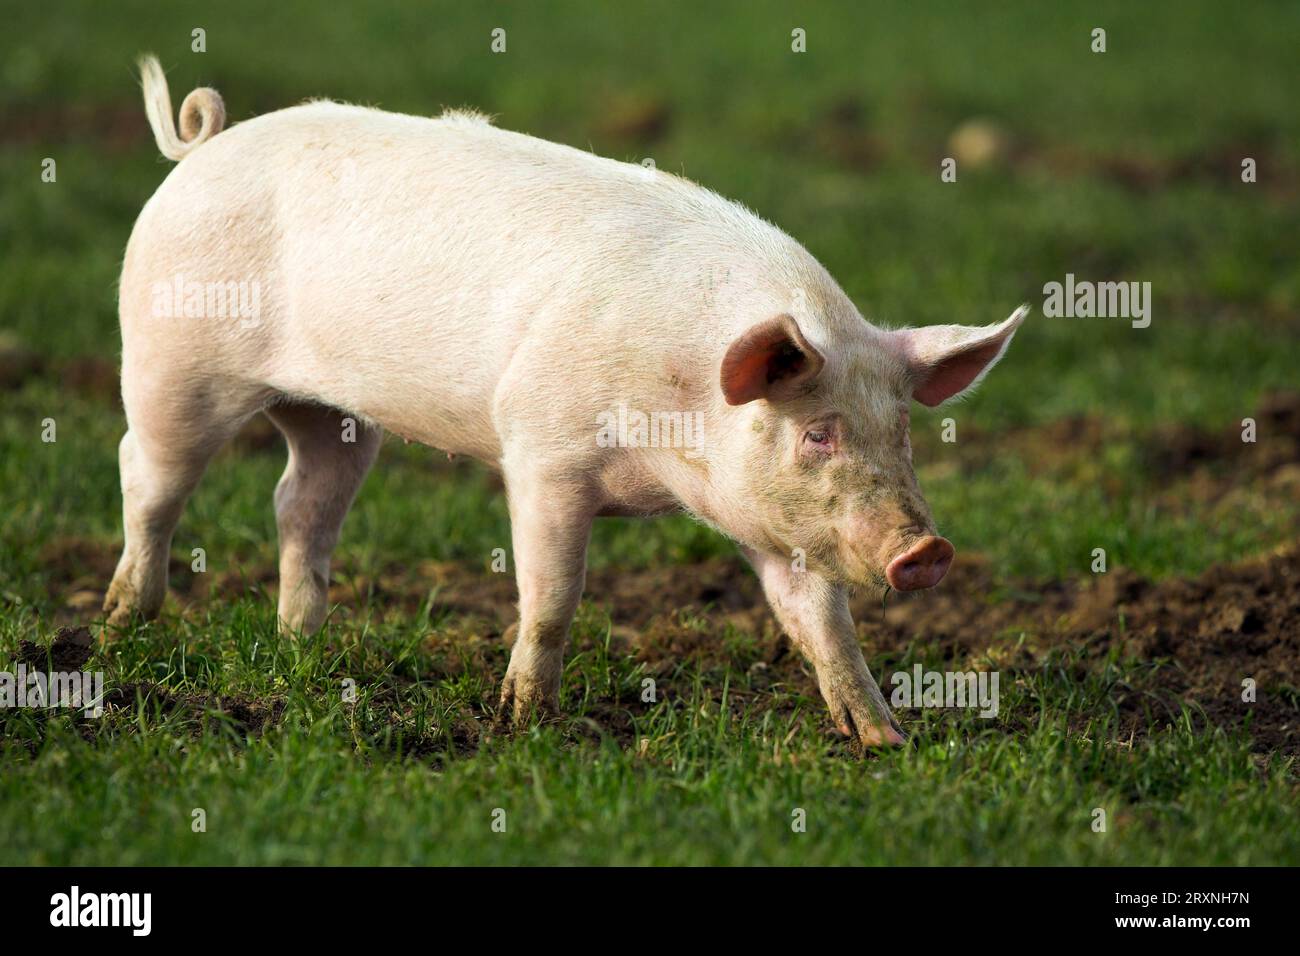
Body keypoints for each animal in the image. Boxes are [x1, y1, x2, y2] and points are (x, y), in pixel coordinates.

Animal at [105, 55, 1026, 748]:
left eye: (903, 433)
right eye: (819, 436)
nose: (926, 550)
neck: (672, 436)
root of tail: (200, 149)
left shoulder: (773, 519)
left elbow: (822, 623)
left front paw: (885, 741)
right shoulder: (543, 450)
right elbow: (553, 593)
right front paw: (525, 722)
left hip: (336, 416)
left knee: (299, 502)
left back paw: (301, 643)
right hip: (171, 358)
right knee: (147, 476)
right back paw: (123, 625)